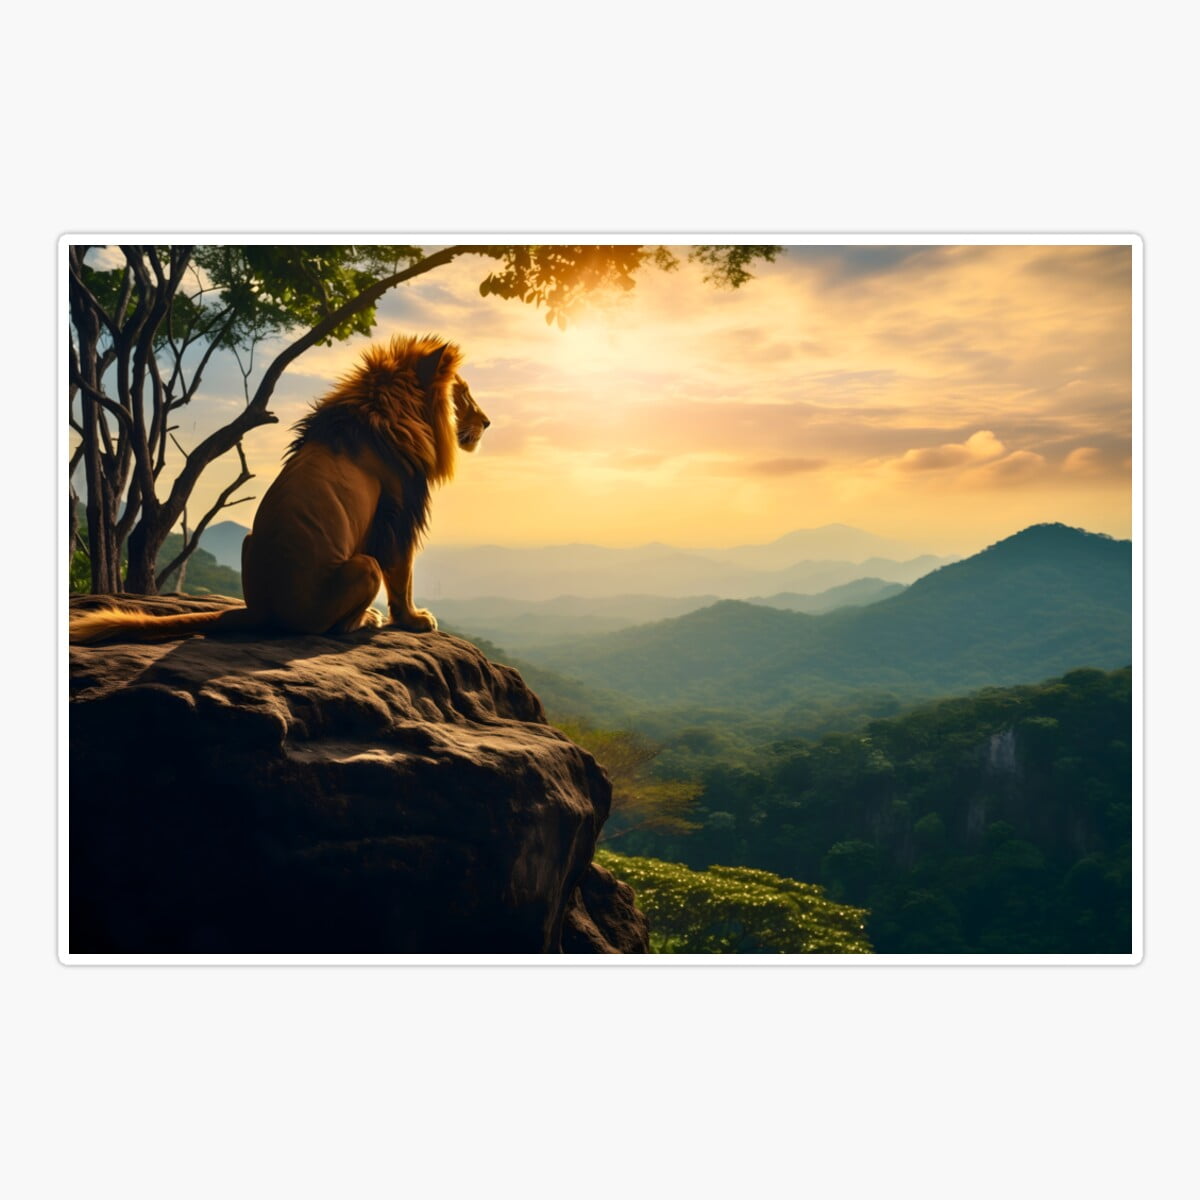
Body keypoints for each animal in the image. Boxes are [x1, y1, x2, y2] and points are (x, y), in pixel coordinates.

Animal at [69, 334, 489, 645]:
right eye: (463, 395)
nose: (487, 422)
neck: (388, 406)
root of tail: (264, 612)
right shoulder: (398, 512)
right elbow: (402, 576)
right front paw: (414, 619)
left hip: (249, 541)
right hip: (362, 567)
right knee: (336, 625)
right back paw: (368, 619)